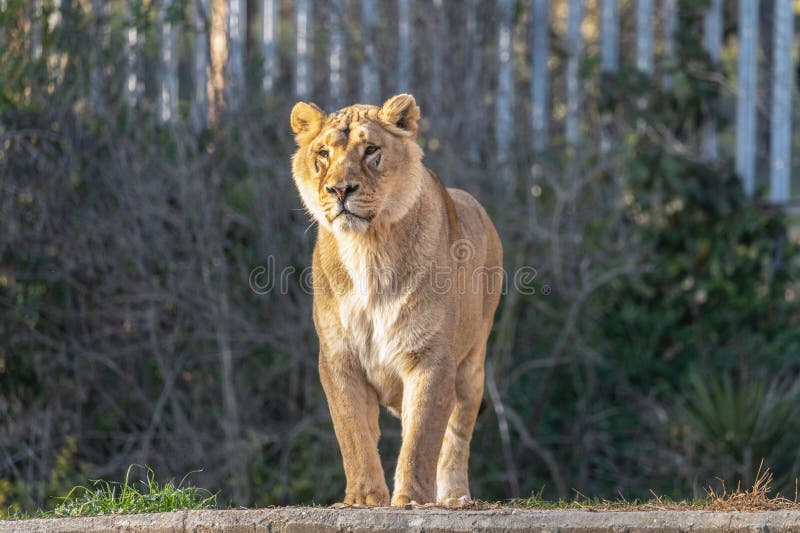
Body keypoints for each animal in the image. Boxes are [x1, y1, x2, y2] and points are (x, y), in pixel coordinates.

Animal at [290, 94, 503, 507]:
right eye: (323, 153)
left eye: (371, 150)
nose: (340, 190)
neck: (368, 250)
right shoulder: (338, 358)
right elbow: (353, 434)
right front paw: (363, 498)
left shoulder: (431, 356)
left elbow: (421, 438)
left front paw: (413, 499)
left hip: (472, 364)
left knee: (456, 435)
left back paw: (454, 497)